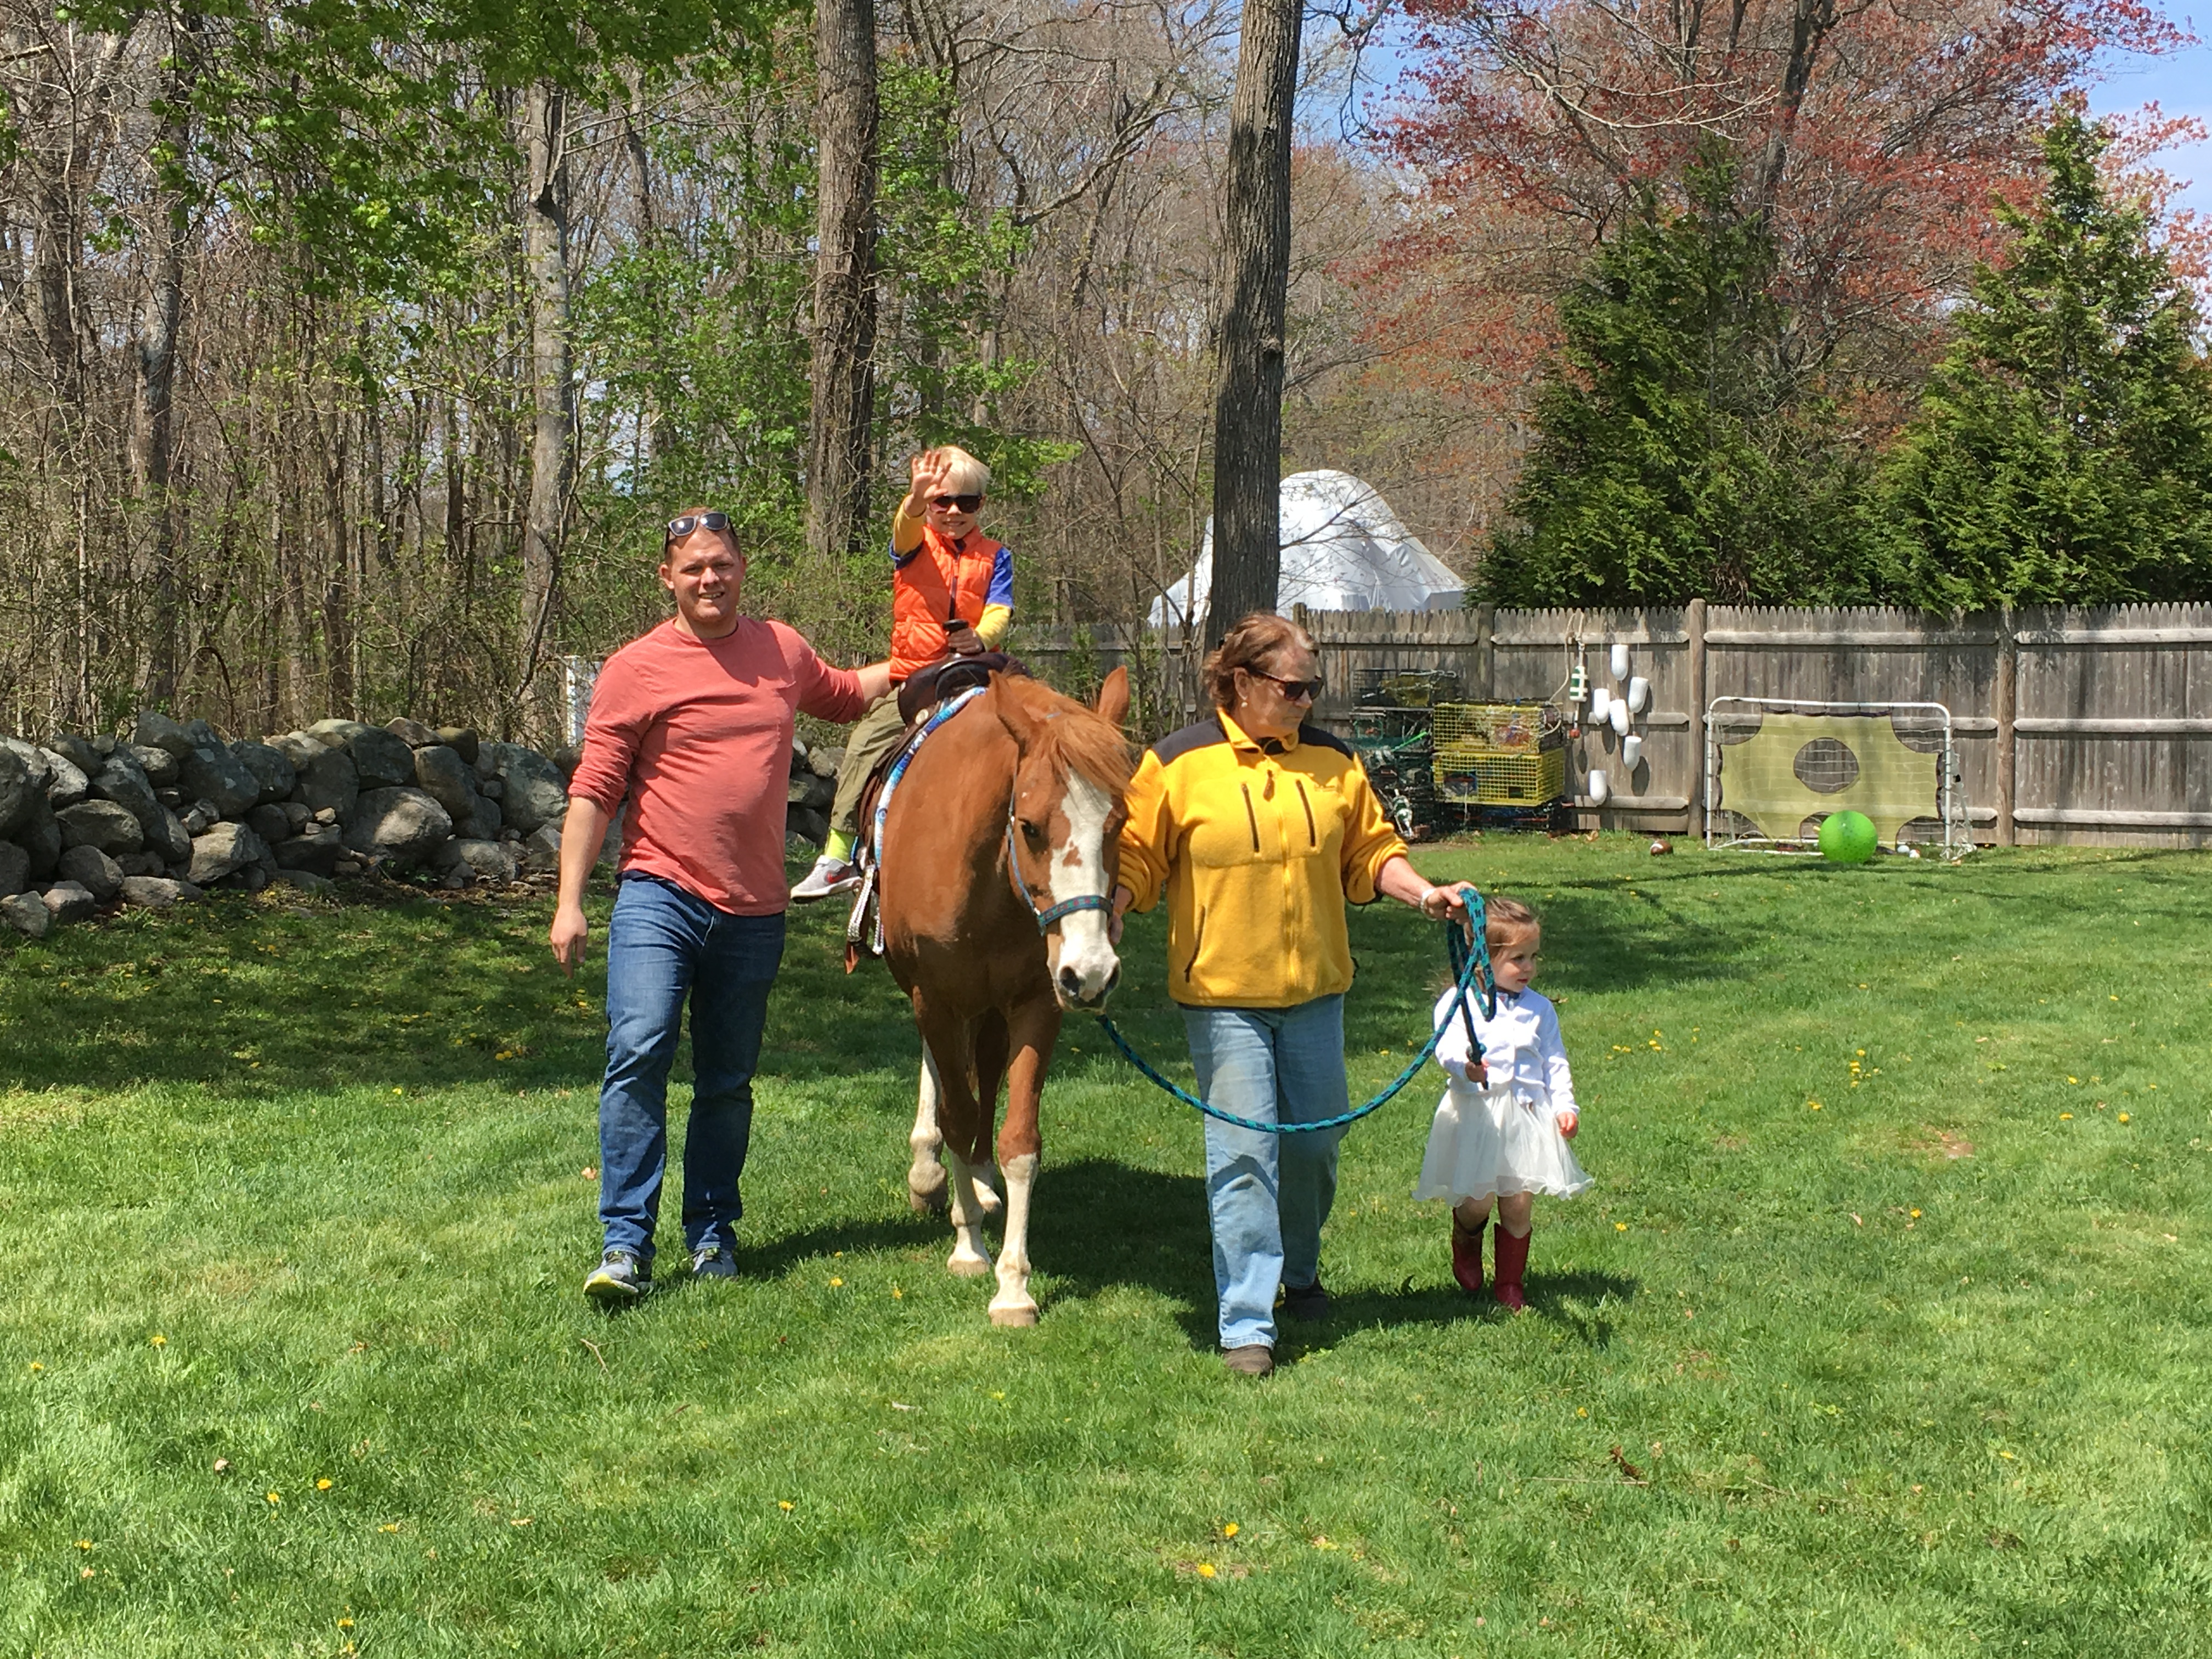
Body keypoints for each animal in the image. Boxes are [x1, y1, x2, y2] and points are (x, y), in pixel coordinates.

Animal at [877, 666, 1134, 1326]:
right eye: (1031, 826)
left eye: (1119, 823)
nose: (1092, 972)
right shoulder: (936, 1000)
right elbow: (958, 1116)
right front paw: (968, 1246)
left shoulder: (1036, 1003)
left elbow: (1019, 1140)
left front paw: (1014, 1285)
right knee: (946, 1086)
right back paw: (931, 1172)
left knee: (985, 1074)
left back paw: (981, 1182)